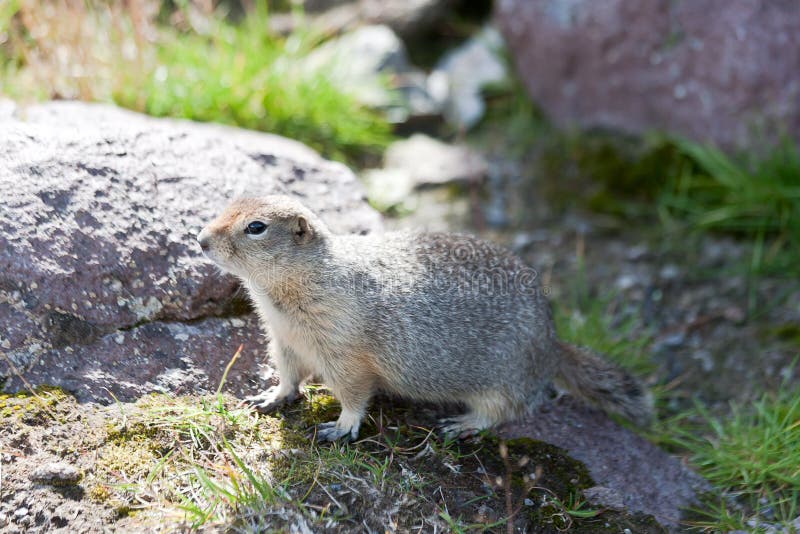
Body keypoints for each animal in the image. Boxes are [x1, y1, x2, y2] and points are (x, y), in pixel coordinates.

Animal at [197, 195, 653, 442]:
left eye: (256, 227)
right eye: (228, 204)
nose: (200, 240)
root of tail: (553, 345)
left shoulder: (345, 349)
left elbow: (354, 393)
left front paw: (341, 426)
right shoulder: (283, 339)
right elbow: (290, 374)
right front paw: (271, 395)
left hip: (505, 379)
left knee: (508, 410)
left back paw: (464, 423)